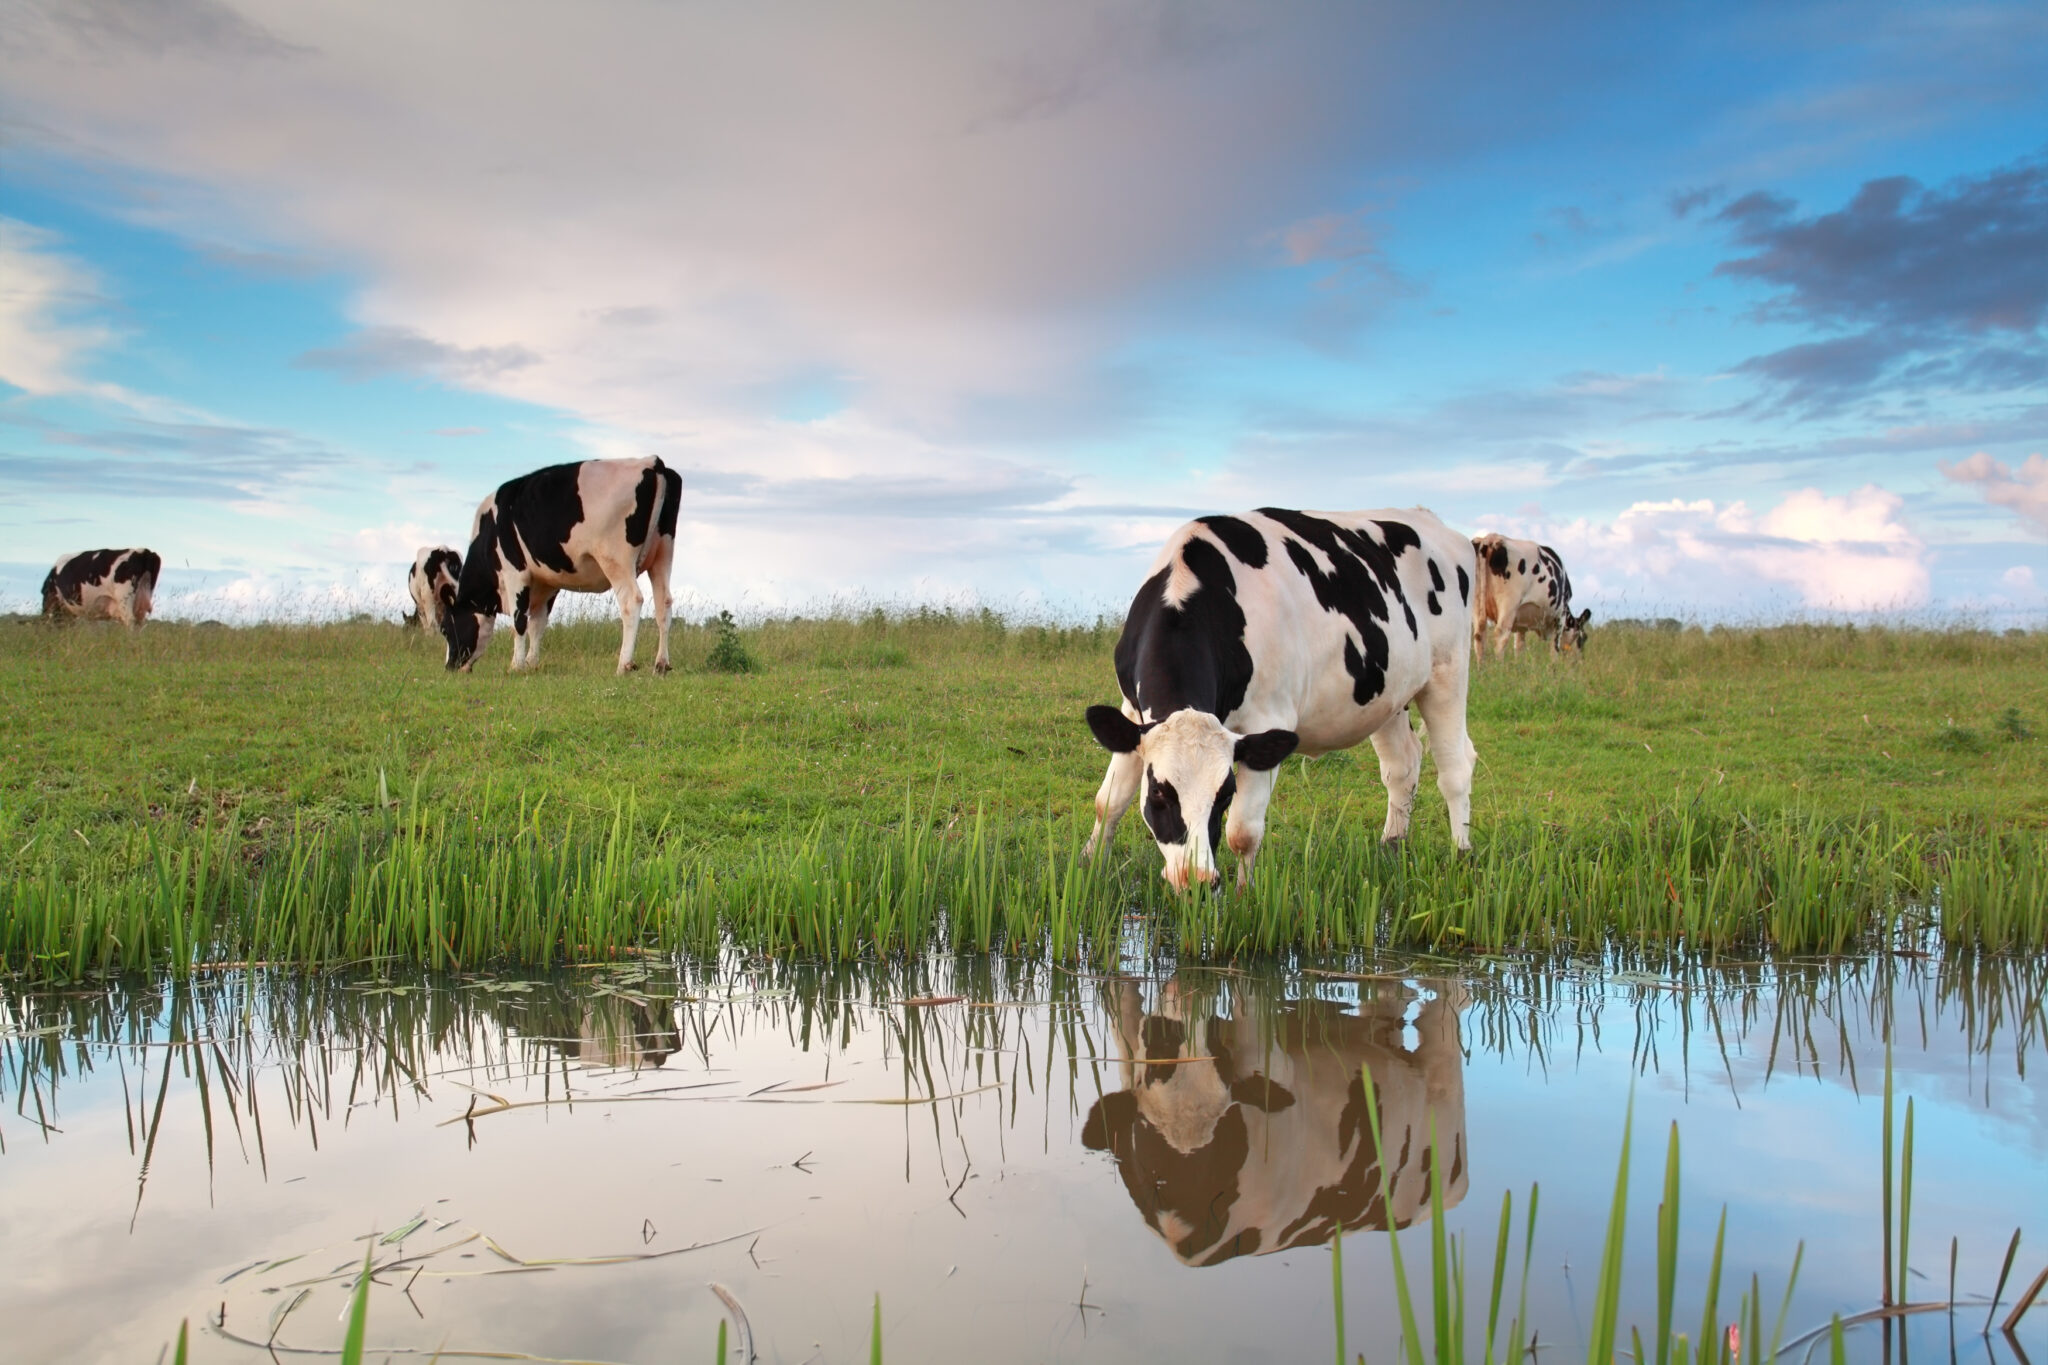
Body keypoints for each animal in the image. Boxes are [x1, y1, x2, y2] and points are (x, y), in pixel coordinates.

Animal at [442, 456, 682, 675]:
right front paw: (532, 663)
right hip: (663, 554)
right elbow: (537, 624)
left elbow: (519, 623)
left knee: (632, 600)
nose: (449, 667)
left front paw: (516, 665)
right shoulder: (547, 583)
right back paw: (661, 664)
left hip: (616, 559)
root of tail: (651, 461)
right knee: (664, 603)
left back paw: (624, 665)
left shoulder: (515, 573)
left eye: (445, 629)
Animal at [1081, 975, 1468, 1265]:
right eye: (1159, 1036)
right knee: (1388, 1009)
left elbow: (1250, 1007)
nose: (1185, 997)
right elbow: (1122, 1019)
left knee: (1451, 1006)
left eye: (1218, 1057)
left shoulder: (1268, 1060)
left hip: (1444, 1081)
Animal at [1082, 508, 1478, 890]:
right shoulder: (1132, 712)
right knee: (1402, 765)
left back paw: (1461, 854)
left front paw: (1245, 897)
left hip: (1449, 671)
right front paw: (1090, 868)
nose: (1196, 881)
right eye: (1159, 794)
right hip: (1388, 695)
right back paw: (1390, 848)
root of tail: (1429, 518)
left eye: (1225, 795)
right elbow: (1109, 801)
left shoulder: (1268, 722)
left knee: (1456, 767)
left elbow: (1242, 832)